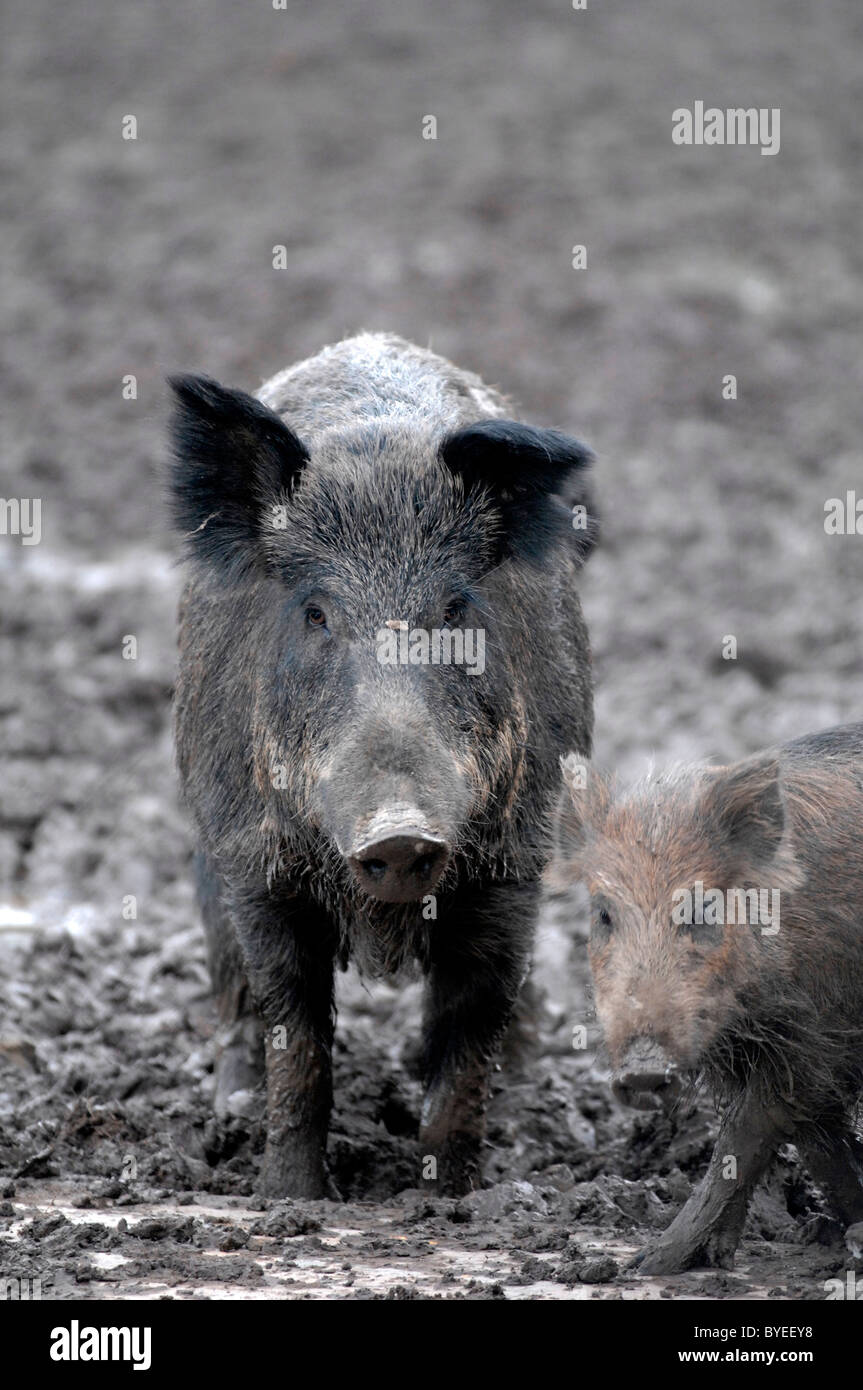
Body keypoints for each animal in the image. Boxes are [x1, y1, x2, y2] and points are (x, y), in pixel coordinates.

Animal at [168, 332, 597, 1198]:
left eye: (454, 608)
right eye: (315, 613)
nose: (399, 833)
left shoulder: (511, 864)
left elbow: (468, 1036)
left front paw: (449, 1200)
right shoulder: (254, 863)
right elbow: (294, 1034)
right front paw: (290, 1199)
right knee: (230, 988)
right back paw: (230, 1112)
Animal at [554, 723, 863, 1273]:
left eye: (702, 908)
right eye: (604, 914)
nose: (643, 1071)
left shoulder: (819, 1040)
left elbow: (746, 1132)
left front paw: (649, 1265)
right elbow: (821, 1145)